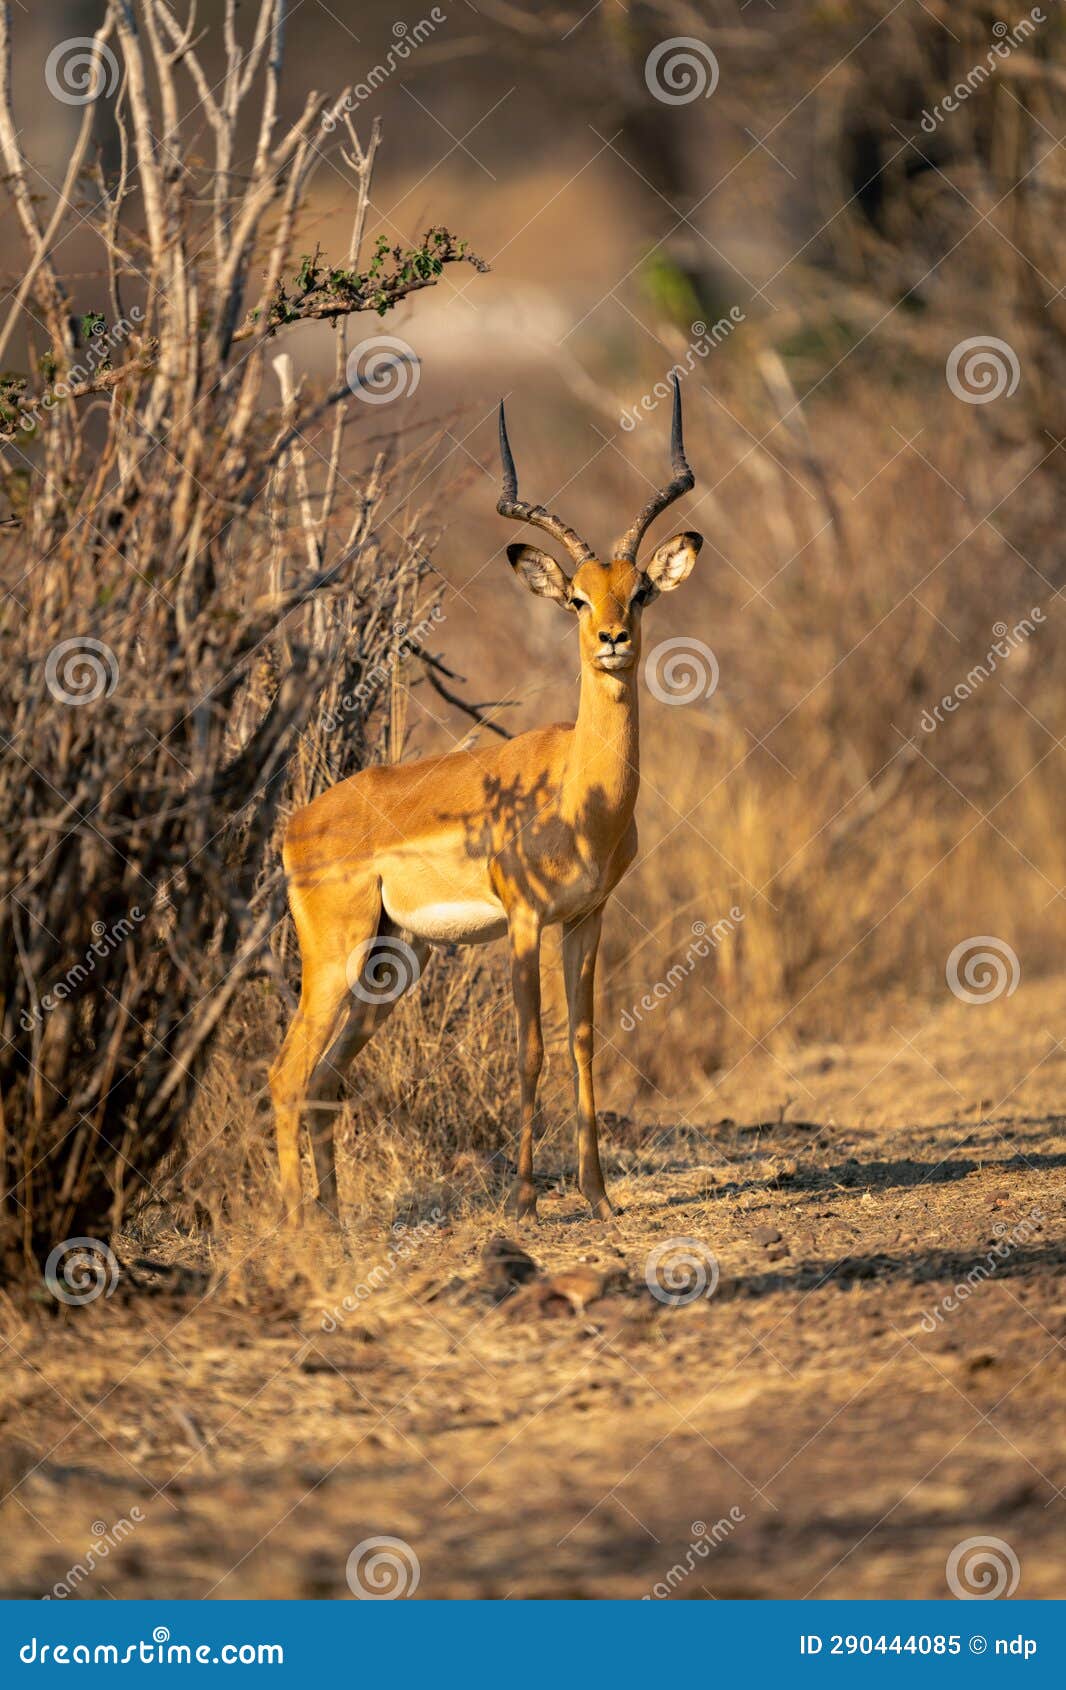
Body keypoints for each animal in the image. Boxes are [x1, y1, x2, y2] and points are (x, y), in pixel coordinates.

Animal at [270, 375, 702, 1223]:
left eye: (639, 592)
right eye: (575, 598)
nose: (612, 639)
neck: (581, 797)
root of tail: (297, 822)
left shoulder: (587, 918)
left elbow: (583, 1041)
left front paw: (598, 1196)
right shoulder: (527, 920)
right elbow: (531, 1048)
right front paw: (527, 1200)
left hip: (388, 964)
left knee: (326, 1082)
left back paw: (332, 1225)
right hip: (335, 956)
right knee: (285, 1075)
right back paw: (297, 1229)